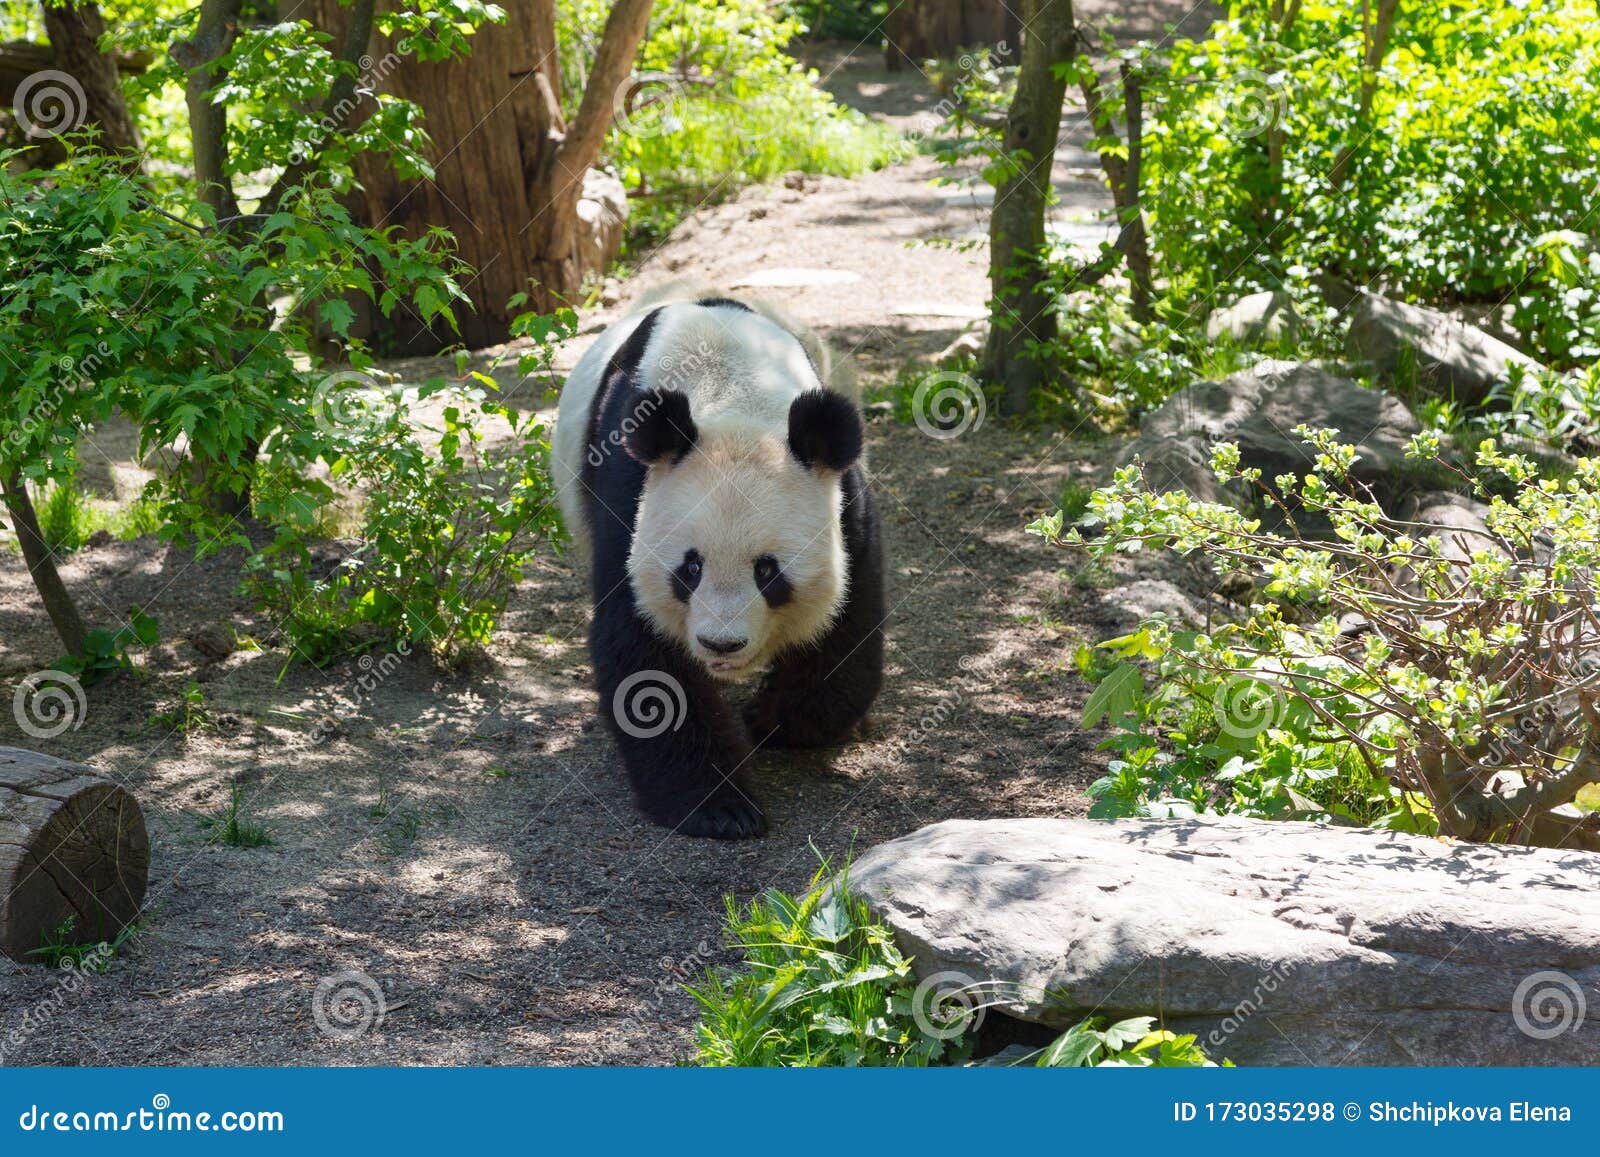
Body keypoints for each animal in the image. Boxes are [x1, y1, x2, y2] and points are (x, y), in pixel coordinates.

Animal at [553, 287, 884, 839]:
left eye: (767, 571)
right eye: (690, 569)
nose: (721, 644)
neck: (733, 395)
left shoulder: (842, 498)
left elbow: (848, 614)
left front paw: (777, 719)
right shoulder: (629, 490)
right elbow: (642, 649)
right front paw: (721, 808)